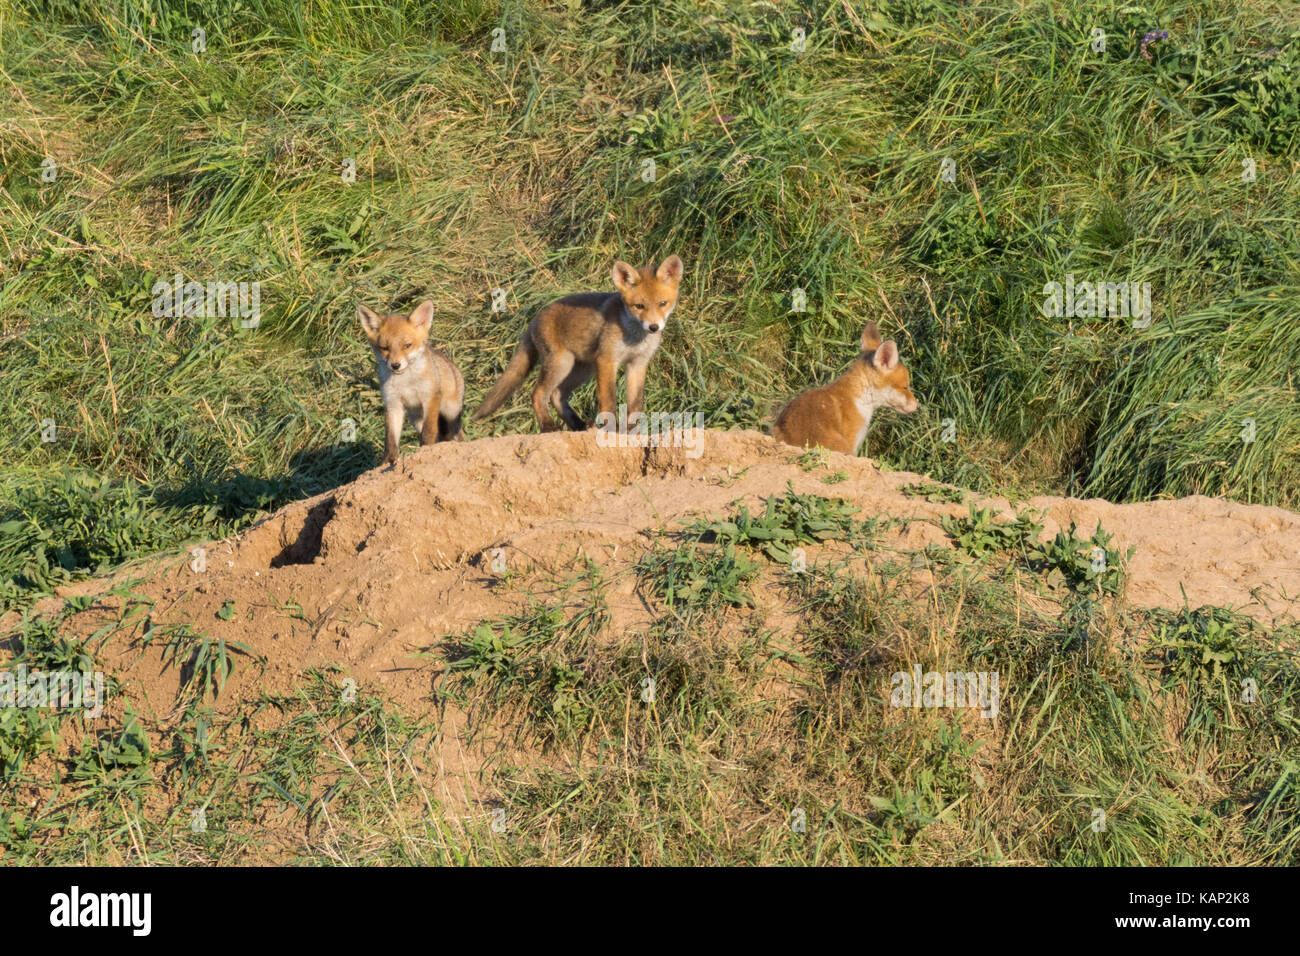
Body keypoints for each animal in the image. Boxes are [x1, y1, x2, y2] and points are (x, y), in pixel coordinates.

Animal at [358, 300, 465, 466]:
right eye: (385, 348)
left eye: (407, 346)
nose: (395, 365)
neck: (405, 383)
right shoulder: (393, 404)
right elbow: (390, 440)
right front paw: (388, 462)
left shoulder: (430, 398)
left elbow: (429, 432)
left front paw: (426, 449)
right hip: (416, 418)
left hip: (451, 413)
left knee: (456, 434)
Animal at [472, 255, 685, 432]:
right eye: (639, 306)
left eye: (663, 303)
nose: (654, 327)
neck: (635, 337)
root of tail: (536, 317)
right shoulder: (607, 360)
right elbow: (608, 399)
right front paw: (612, 428)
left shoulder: (638, 363)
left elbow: (635, 403)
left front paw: (631, 430)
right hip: (562, 364)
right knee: (538, 394)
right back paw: (548, 426)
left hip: (583, 369)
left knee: (556, 394)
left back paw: (578, 425)